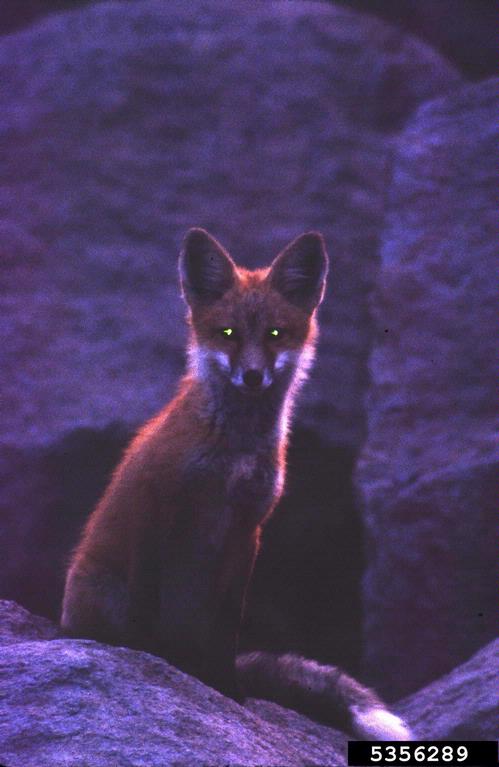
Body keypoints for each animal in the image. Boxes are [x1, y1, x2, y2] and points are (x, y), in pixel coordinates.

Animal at [61, 227, 412, 741]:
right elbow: (145, 598)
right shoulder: (157, 507)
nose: (251, 375)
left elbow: (228, 623)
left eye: (274, 334)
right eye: (227, 333)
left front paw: (226, 689)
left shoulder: (247, 529)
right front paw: (143, 660)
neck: (233, 455)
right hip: (101, 590)